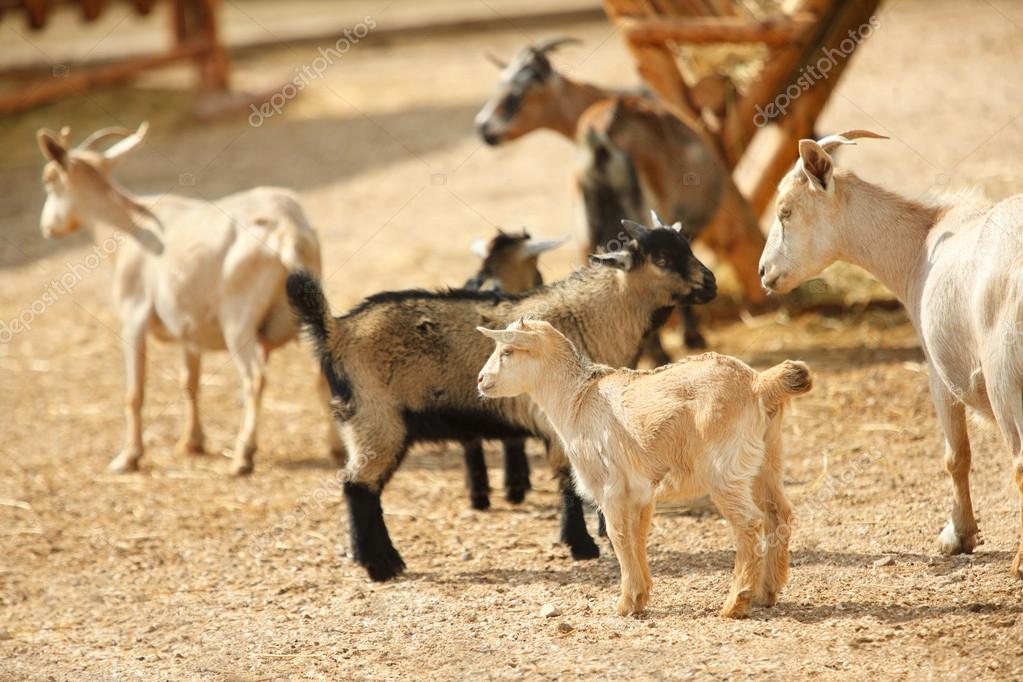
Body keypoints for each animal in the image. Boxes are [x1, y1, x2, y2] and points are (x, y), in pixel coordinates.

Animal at [36, 123, 342, 476]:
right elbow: (189, 382)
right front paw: (191, 443)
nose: (47, 228)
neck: (129, 229)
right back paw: (336, 450)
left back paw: (242, 456)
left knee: (254, 378)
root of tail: (288, 230)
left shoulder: (133, 315)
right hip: (307, 308)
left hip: (238, 318)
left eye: (49, 179)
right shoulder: (188, 328)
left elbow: (134, 391)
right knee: (322, 373)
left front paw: (127, 458)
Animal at [477, 318, 810, 617]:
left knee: (748, 523)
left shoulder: (609, 484)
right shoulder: (640, 489)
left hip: (725, 468)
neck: (576, 399)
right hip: (765, 461)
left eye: (508, 351)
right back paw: (767, 592)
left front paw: (625, 603)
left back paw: (736, 603)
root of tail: (759, 385)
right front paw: (640, 597)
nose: (480, 380)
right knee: (778, 515)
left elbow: (618, 534)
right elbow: (637, 535)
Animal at [759, 129, 1023, 579]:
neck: (922, 244)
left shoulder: (938, 369)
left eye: (786, 211)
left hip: (1005, 376)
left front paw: (957, 536)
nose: (764, 273)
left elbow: (956, 456)